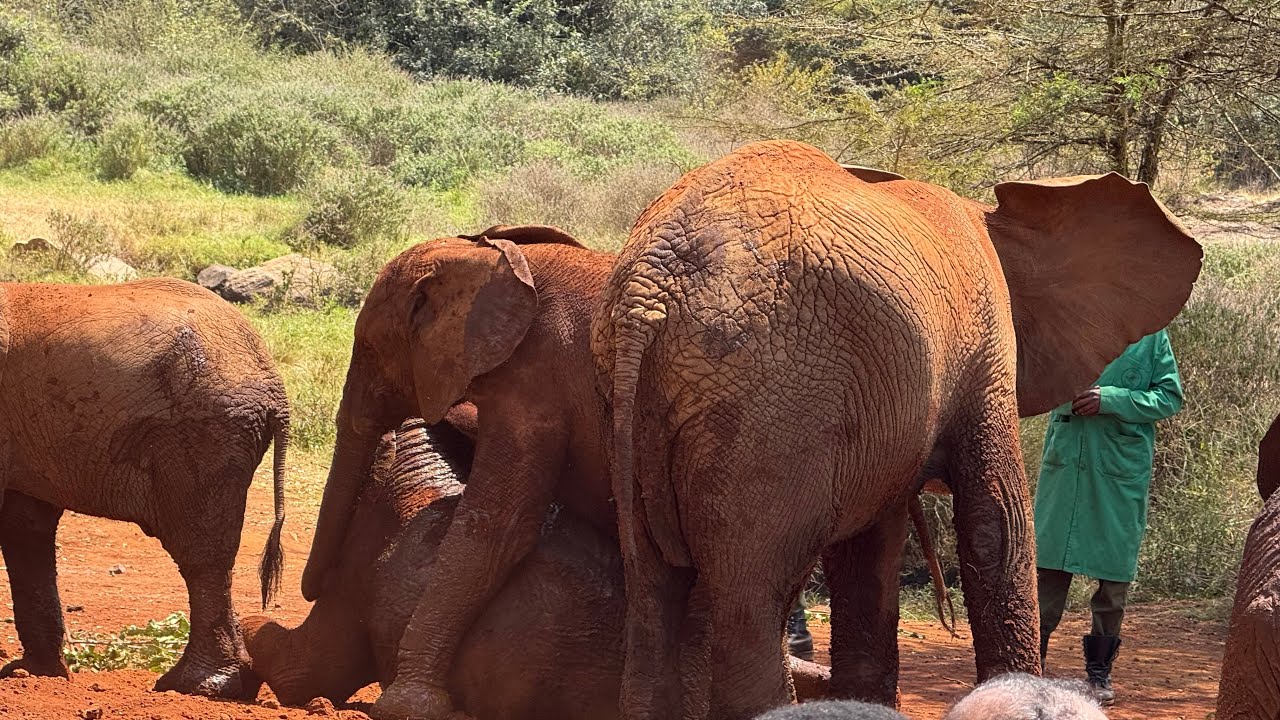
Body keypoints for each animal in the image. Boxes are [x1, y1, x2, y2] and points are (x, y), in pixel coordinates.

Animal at [0, 278, 288, 698]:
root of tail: (274, 383)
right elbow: (26, 526)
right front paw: (36, 675)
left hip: (202, 433)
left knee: (201, 552)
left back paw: (196, 687)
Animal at [298, 225, 620, 719]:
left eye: (368, 348)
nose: (311, 589)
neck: (486, 252)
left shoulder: (534, 383)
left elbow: (496, 528)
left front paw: (408, 707)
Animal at [592, 140, 1203, 719]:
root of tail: (649, 289)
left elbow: (870, 552)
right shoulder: (981, 346)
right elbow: (995, 526)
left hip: (649, 403)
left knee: (655, 597)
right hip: (765, 397)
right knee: (748, 601)